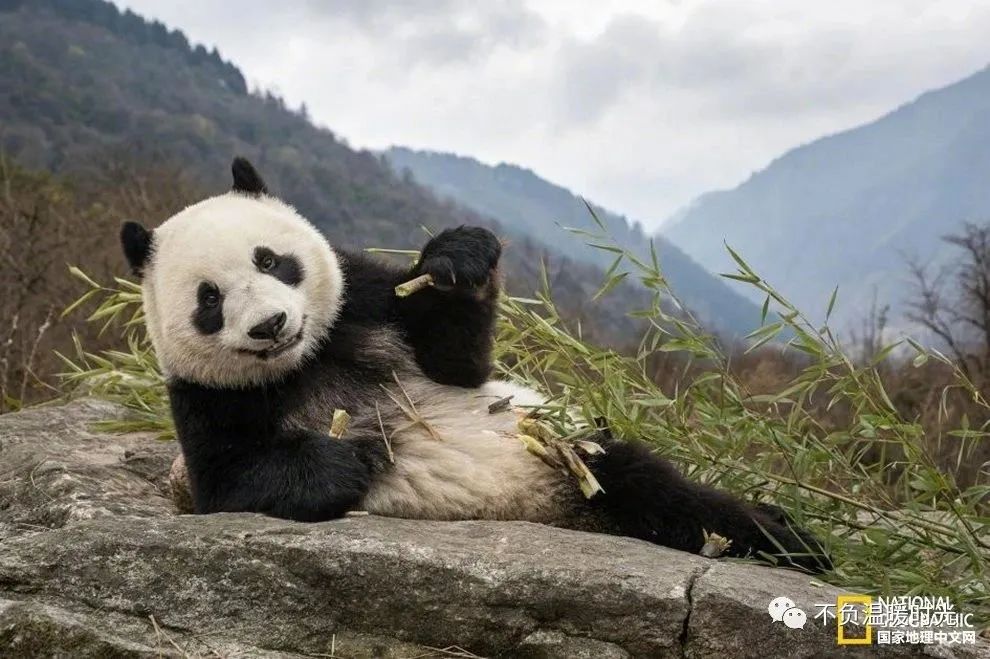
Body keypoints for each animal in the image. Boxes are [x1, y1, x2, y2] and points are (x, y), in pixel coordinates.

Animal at [119, 157, 830, 572]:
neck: (308, 360)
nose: (271, 324)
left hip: (561, 453)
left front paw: (456, 258)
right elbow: (230, 482)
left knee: (654, 484)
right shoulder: (207, 397)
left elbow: (456, 362)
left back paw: (789, 540)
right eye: (210, 299)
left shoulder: (363, 301)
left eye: (272, 260)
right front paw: (350, 458)